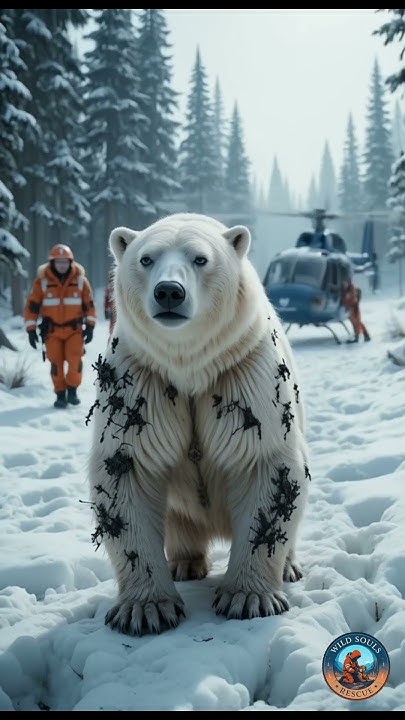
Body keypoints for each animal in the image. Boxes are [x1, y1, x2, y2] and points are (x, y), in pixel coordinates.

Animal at [87, 212, 311, 636]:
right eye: (146, 258)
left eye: (200, 259)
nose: (169, 292)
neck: (190, 367)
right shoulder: (141, 379)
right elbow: (129, 469)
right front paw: (147, 610)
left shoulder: (243, 375)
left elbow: (264, 467)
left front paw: (248, 598)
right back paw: (184, 562)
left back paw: (289, 565)